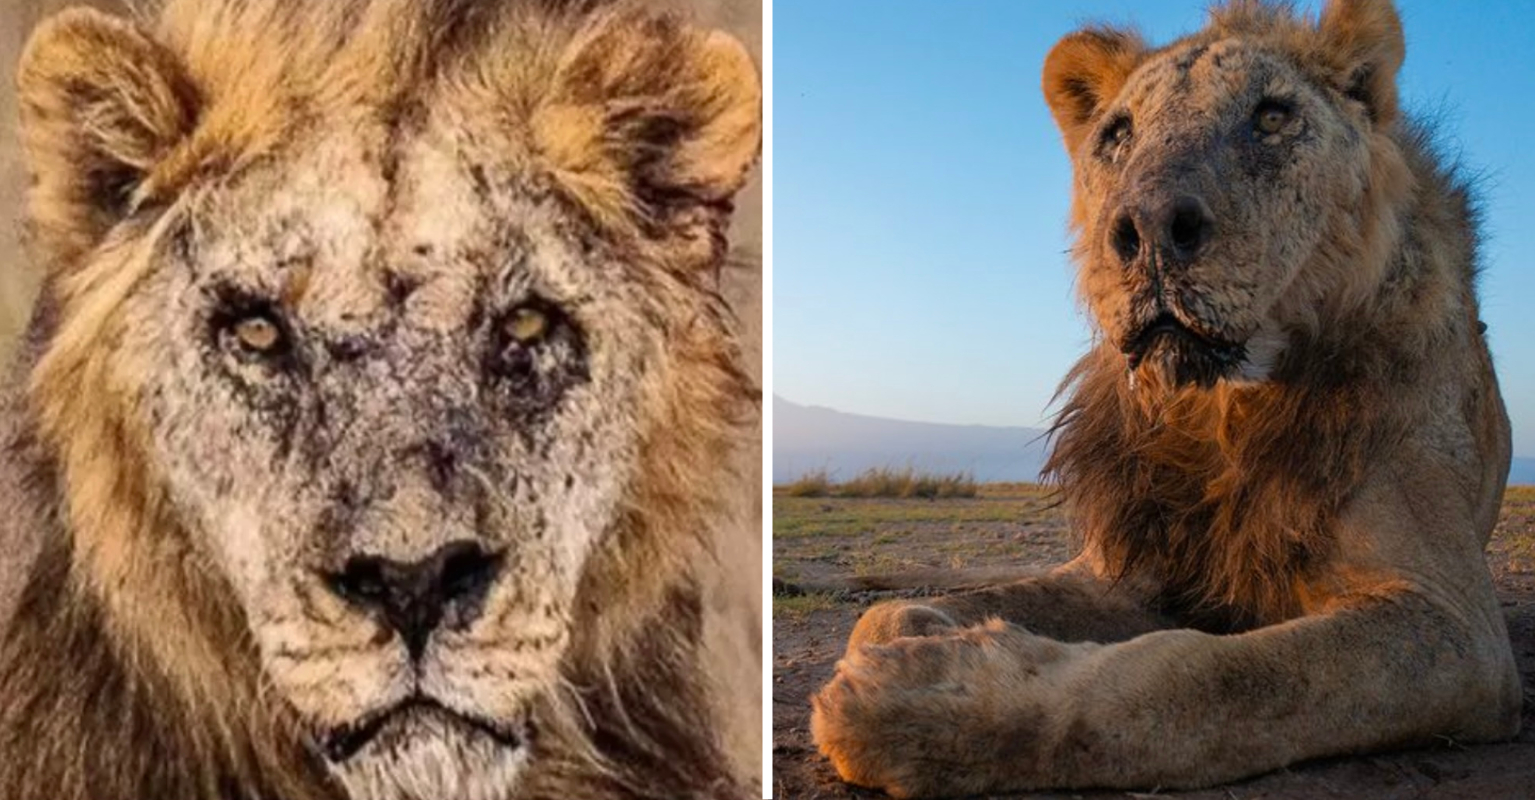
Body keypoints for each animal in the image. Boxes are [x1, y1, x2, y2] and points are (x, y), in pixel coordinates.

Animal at [809, 0, 1521, 796]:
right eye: (1117, 135)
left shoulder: (1454, 625)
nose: (1148, 228)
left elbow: (1207, 677)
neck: (1217, 410)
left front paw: (932, 699)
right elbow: (884, 617)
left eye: (1271, 117)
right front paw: (927, 630)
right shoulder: (1129, 566)